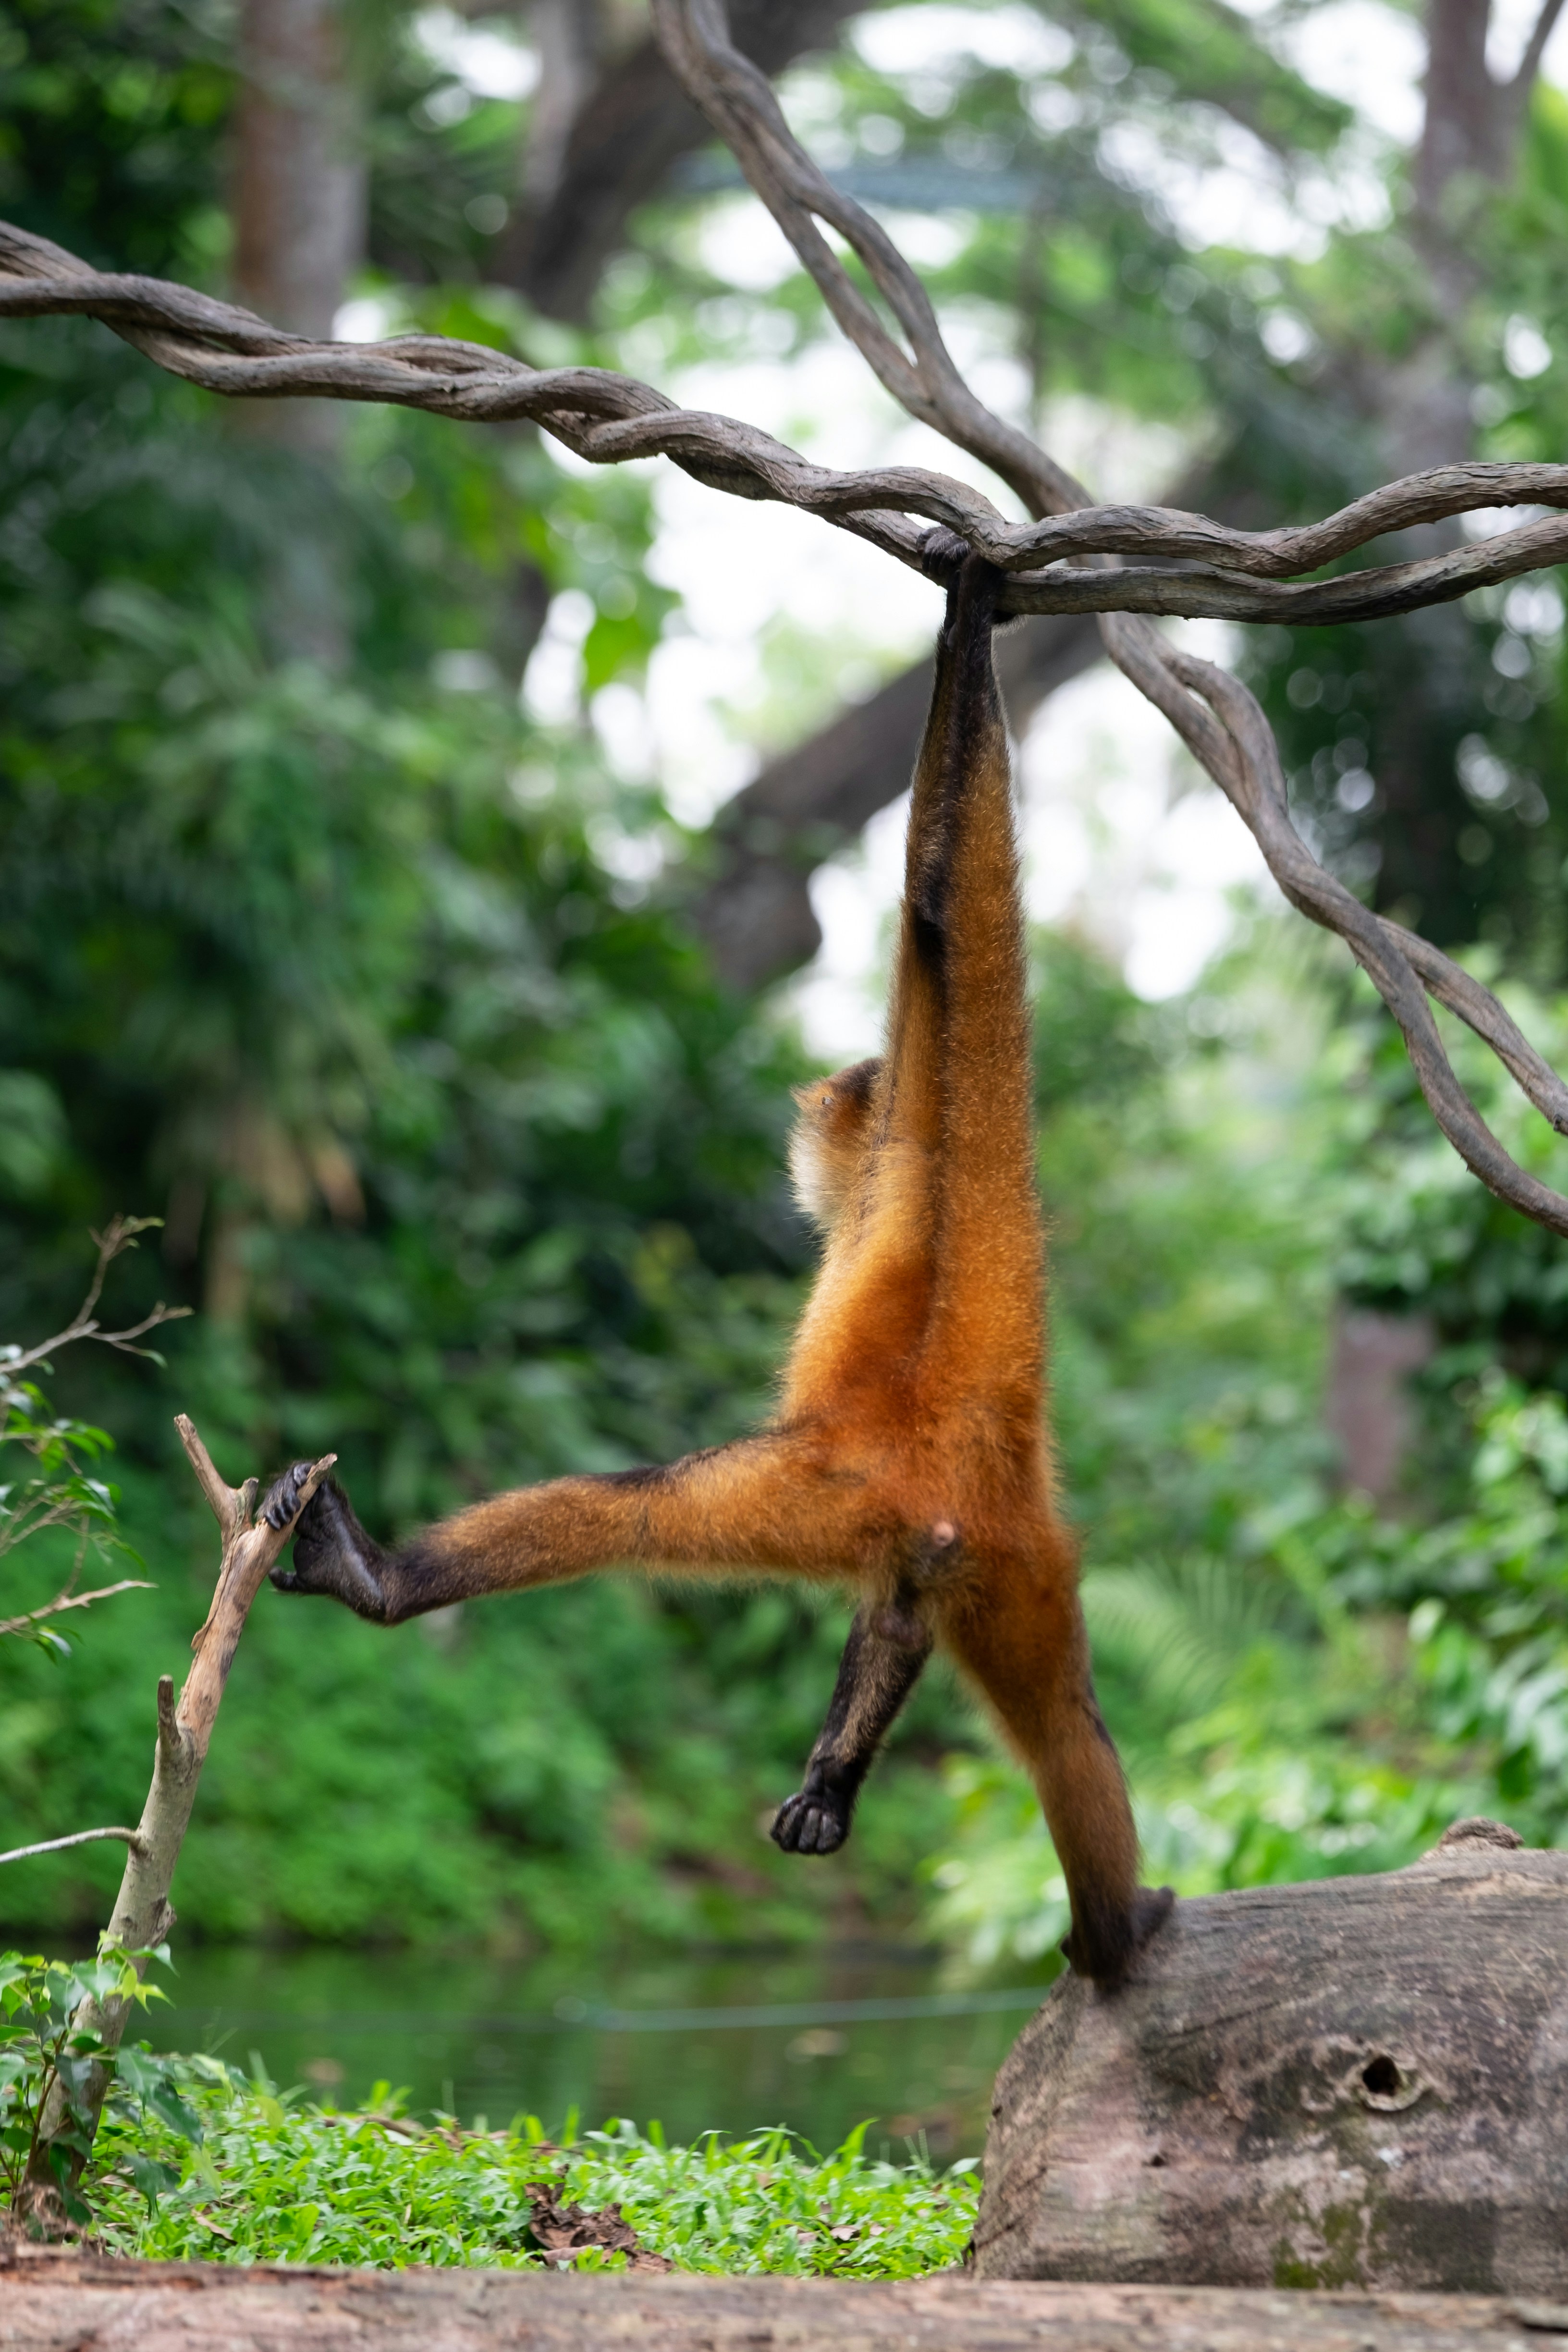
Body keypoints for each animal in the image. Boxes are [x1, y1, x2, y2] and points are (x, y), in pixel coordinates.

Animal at [262, 551, 1174, 1986]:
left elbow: (936, 919)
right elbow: (897, 1631)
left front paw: (970, 609)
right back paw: (1117, 1929)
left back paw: (381, 1575)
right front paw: (830, 1790)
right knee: (1064, 1721)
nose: (803, 1157)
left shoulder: (909, 1141)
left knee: (639, 1507)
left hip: (839, 1488)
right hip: (999, 1562)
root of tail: (979, 1431)